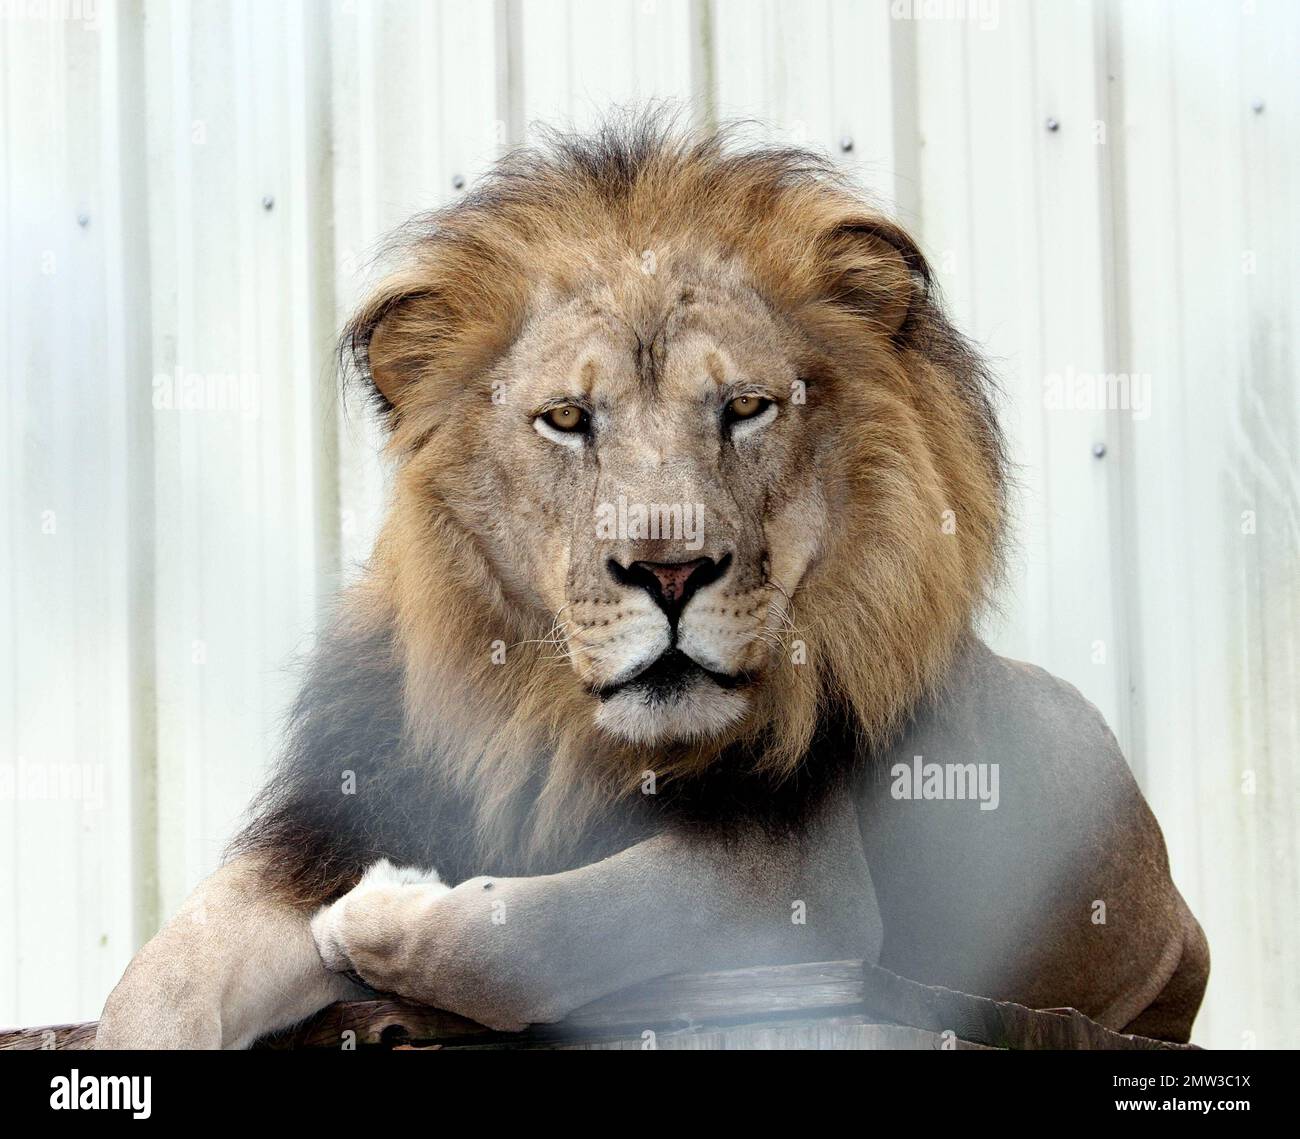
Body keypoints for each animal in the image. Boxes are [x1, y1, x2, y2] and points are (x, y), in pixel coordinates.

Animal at [96, 118, 1208, 1049]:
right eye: (565, 419)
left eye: (747, 408)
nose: (668, 568)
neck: (547, 718)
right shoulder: (328, 823)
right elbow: (155, 978)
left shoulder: (800, 883)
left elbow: (536, 932)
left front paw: (382, 912)